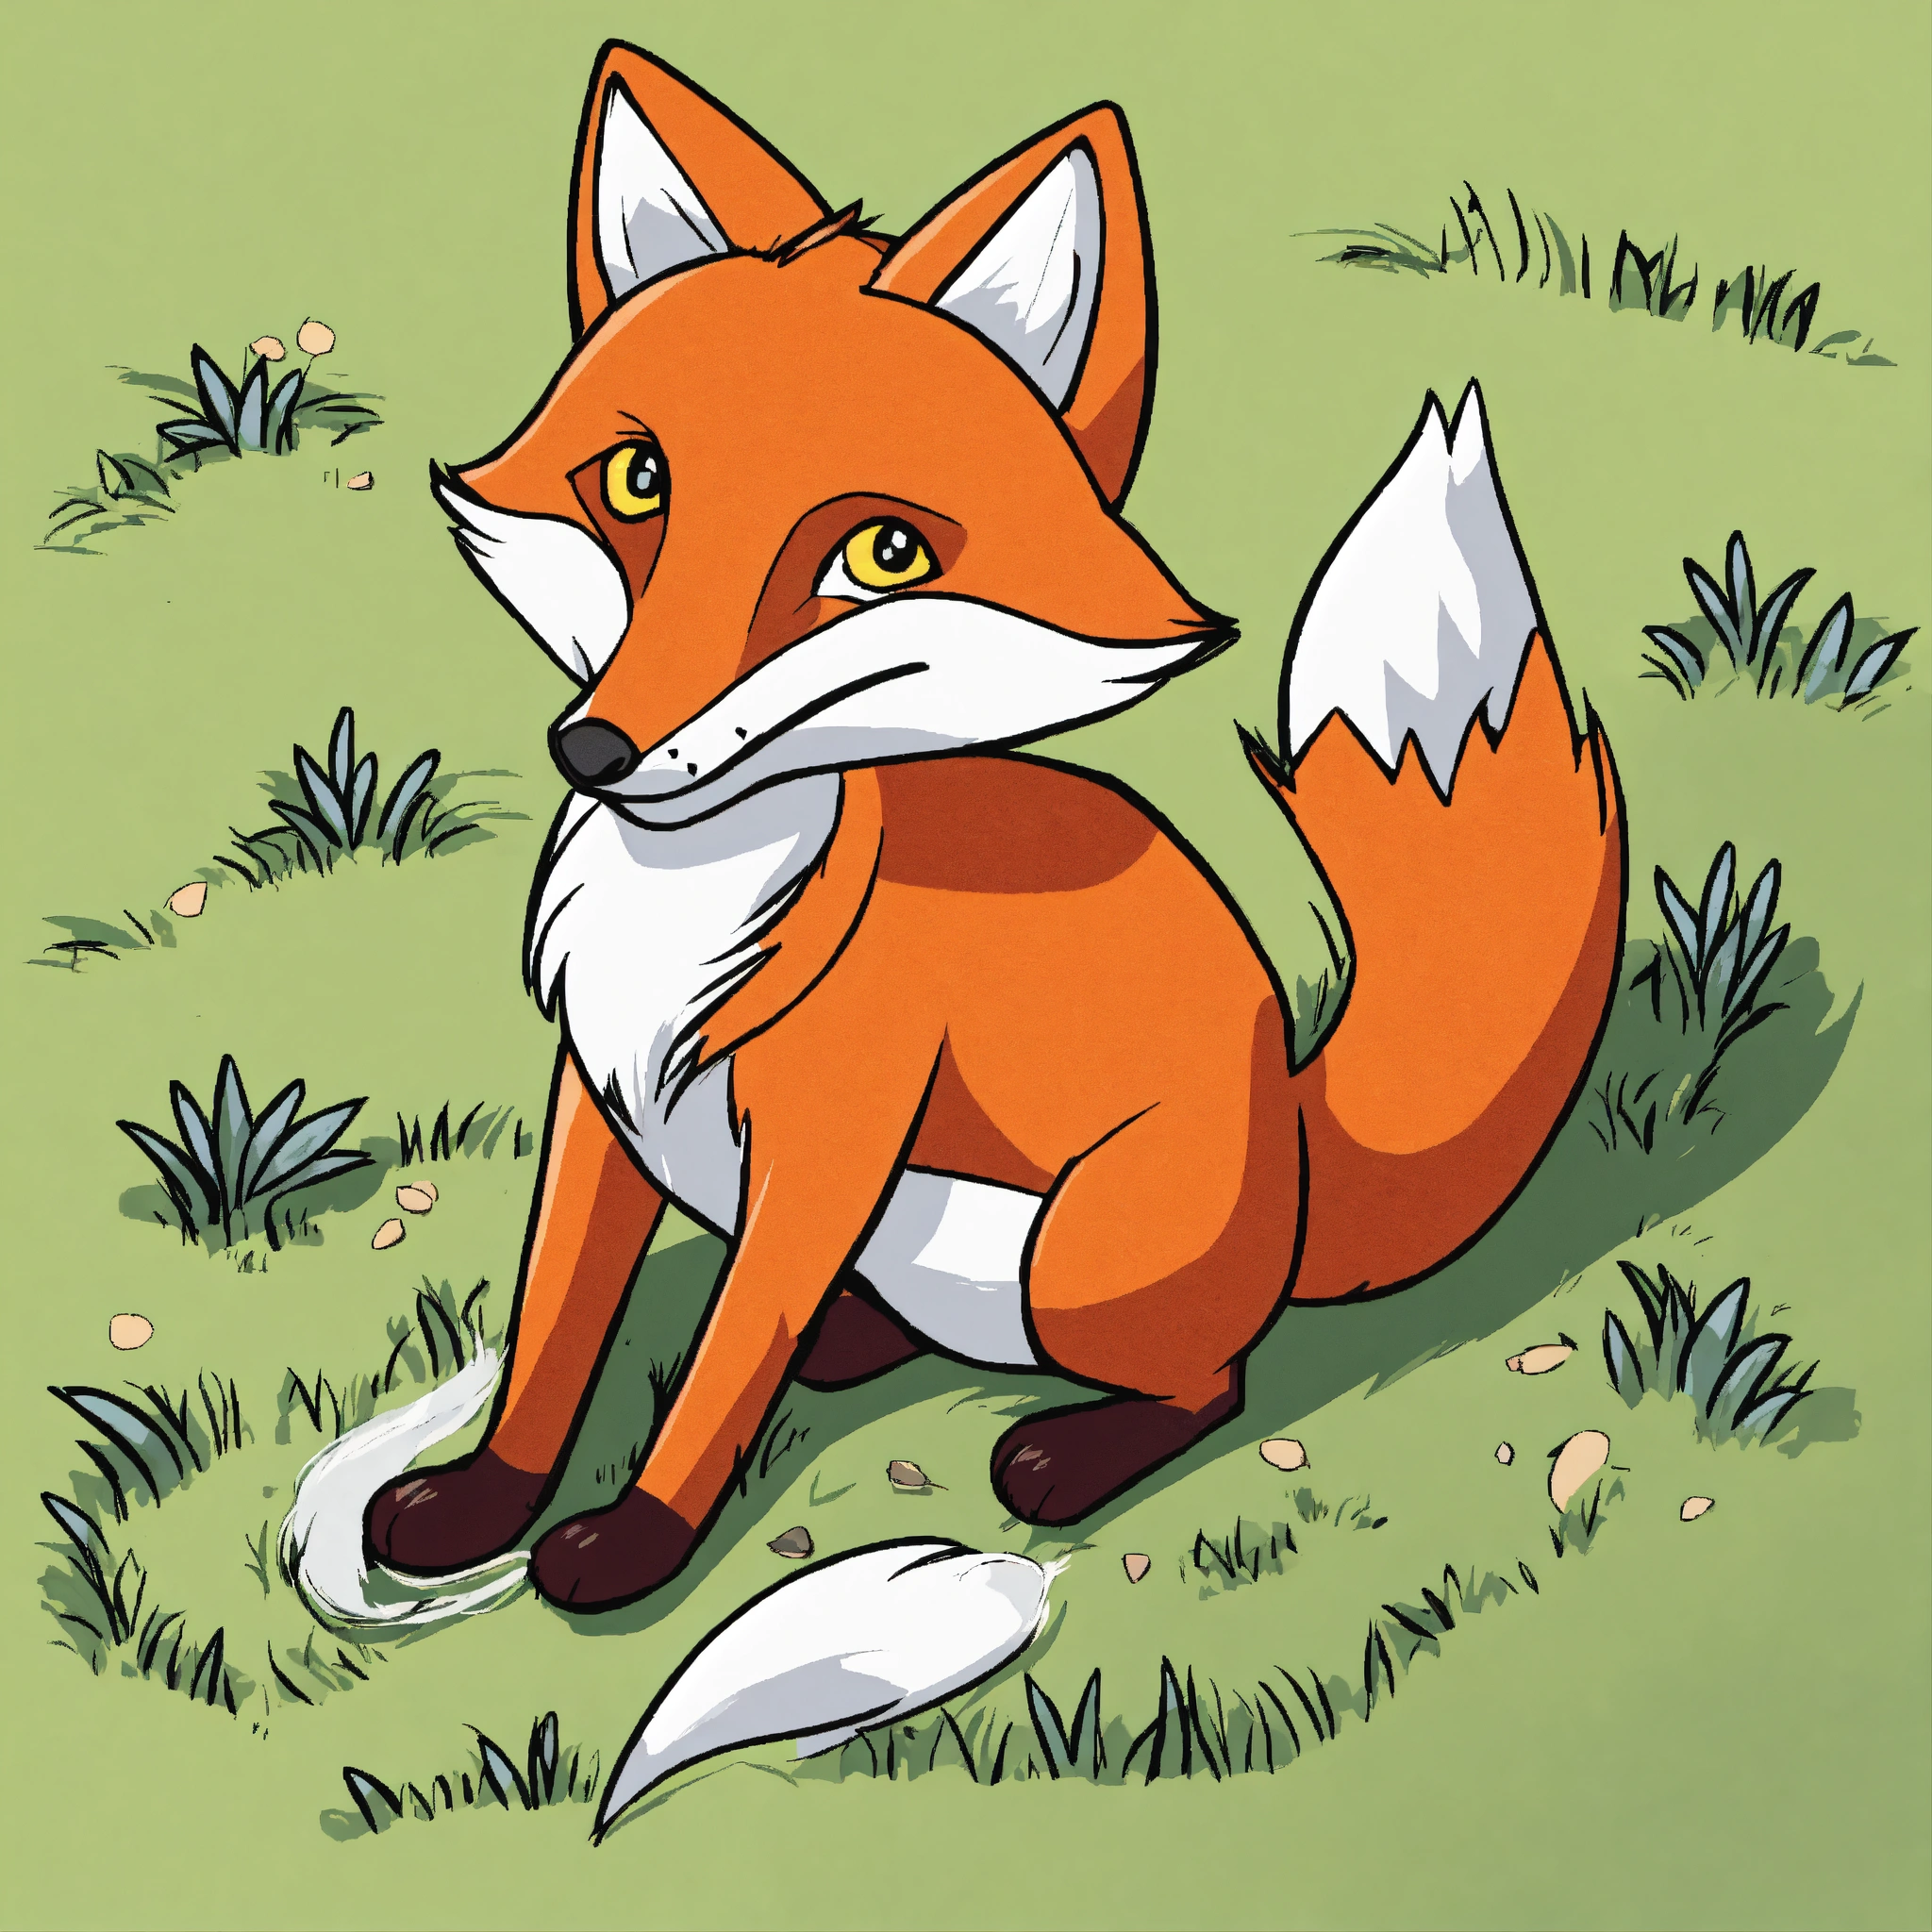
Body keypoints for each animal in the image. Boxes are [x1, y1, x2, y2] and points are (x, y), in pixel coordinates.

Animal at [365, 42, 1626, 1612]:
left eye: (882, 555)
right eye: (638, 485)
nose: (593, 749)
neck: (697, 899)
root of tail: (1296, 1146)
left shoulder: (828, 1143)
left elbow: (717, 1377)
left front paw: (635, 1542)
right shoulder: (601, 1105)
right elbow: (550, 1344)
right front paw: (485, 1502)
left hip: (1078, 1266)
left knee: (1211, 1383)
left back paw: (1067, 1453)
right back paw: (863, 1341)